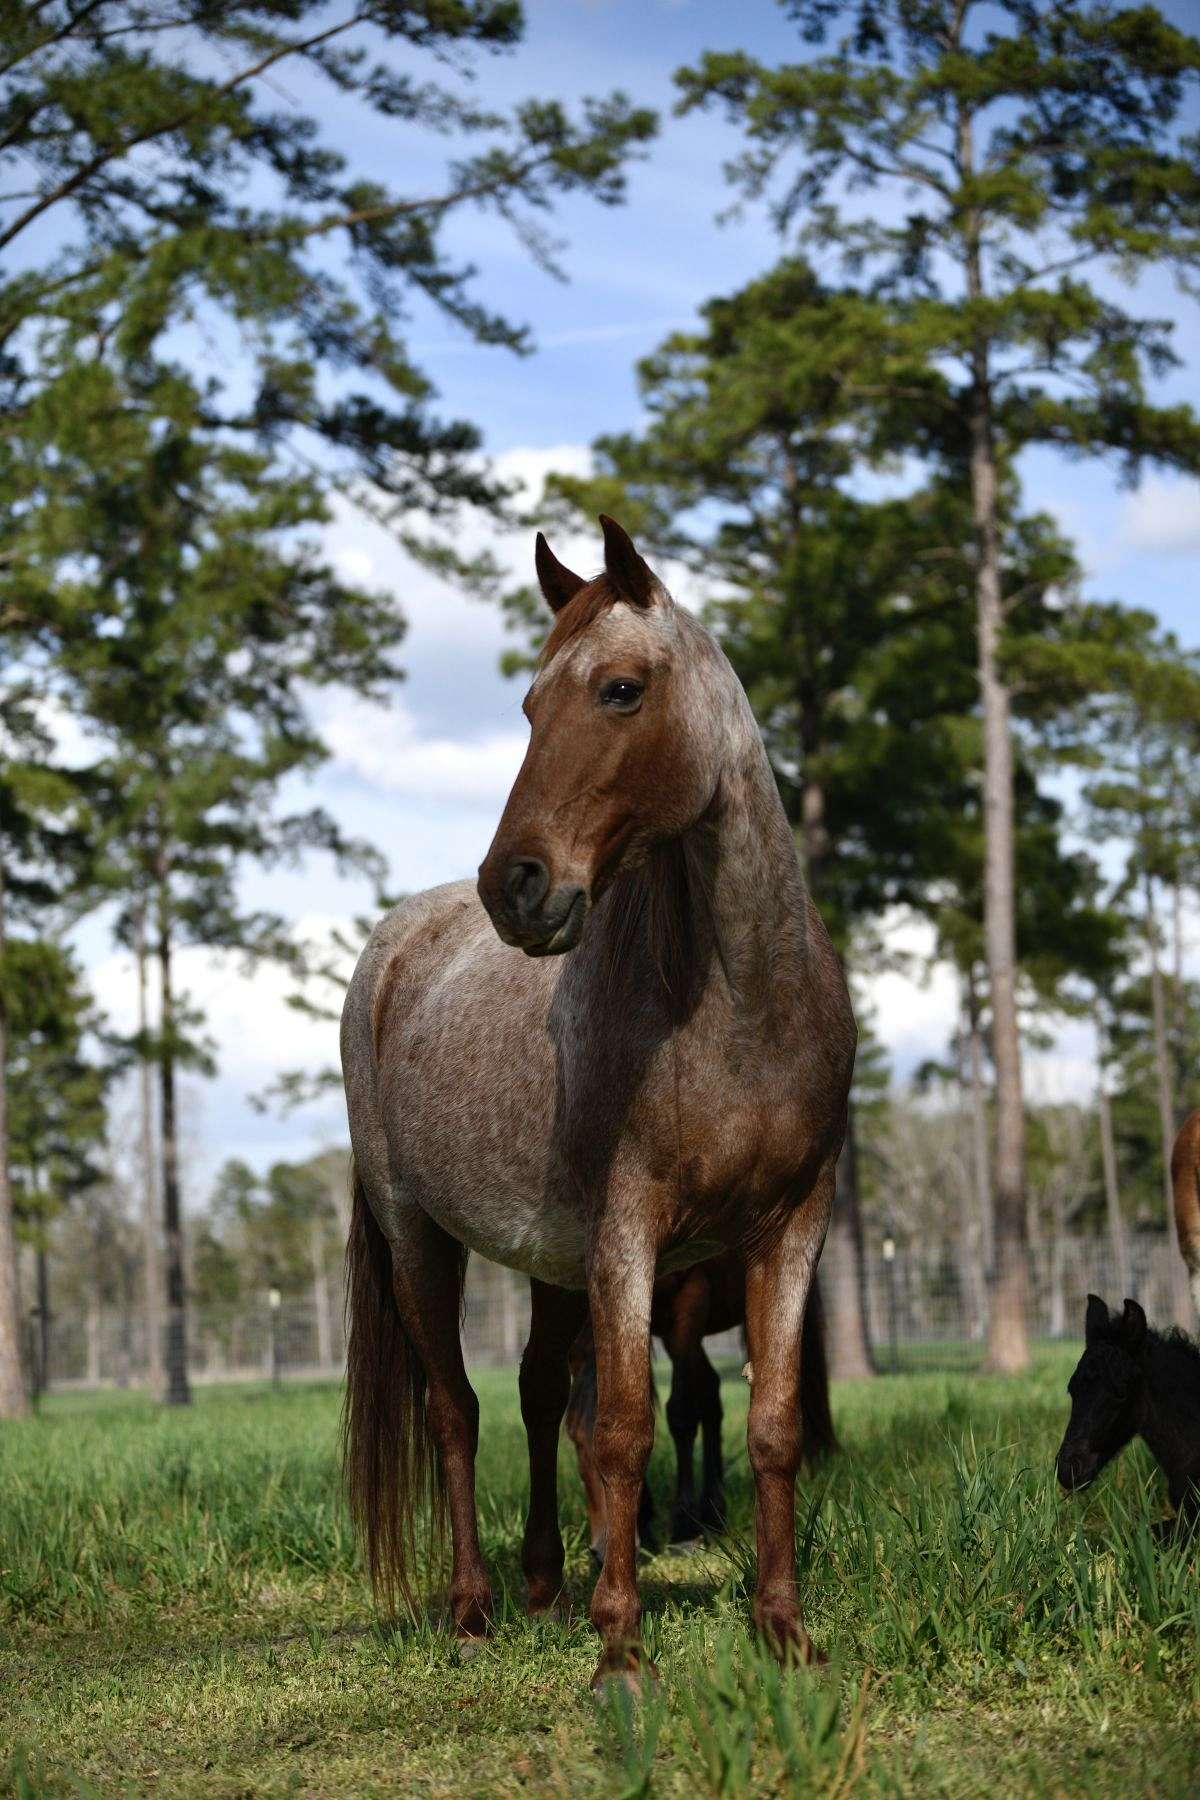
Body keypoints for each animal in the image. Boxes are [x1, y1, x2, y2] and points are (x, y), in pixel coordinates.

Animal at [566, 1257, 835, 1561]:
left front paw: (682, 1528)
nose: (601, 1549)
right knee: (710, 1392)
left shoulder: (690, 1300)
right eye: (575, 1438)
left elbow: (680, 1413)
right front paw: (646, 1523)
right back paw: (712, 1513)